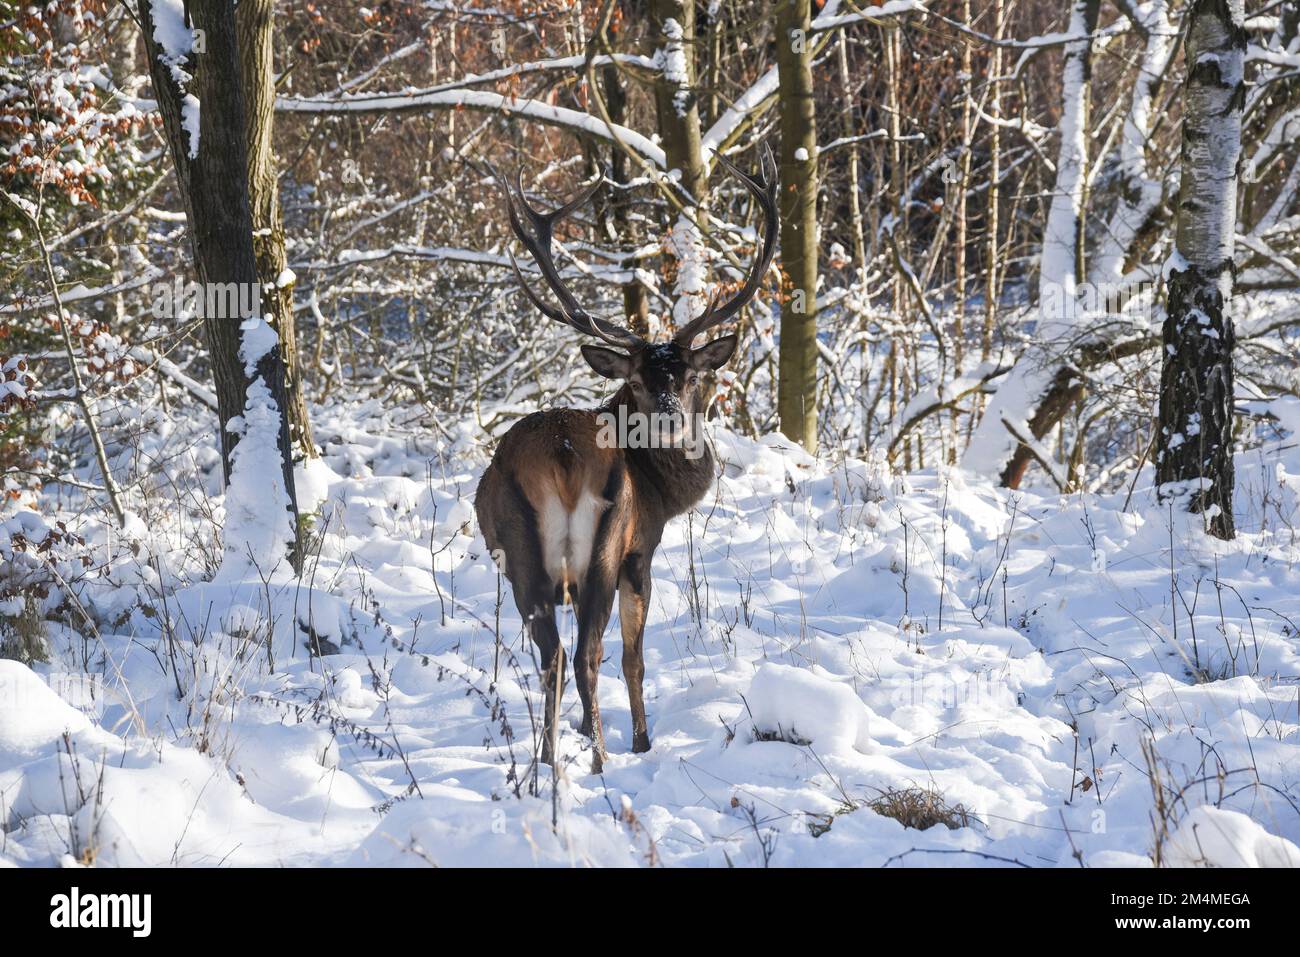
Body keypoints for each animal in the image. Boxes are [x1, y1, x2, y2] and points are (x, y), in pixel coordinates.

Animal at [474, 147, 777, 773]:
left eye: (689, 376)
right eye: (636, 380)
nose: (667, 416)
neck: (665, 492)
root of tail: (563, 453)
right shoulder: (643, 548)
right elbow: (634, 657)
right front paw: (642, 740)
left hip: (520, 553)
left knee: (553, 655)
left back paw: (549, 759)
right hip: (604, 546)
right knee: (587, 653)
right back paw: (601, 757)